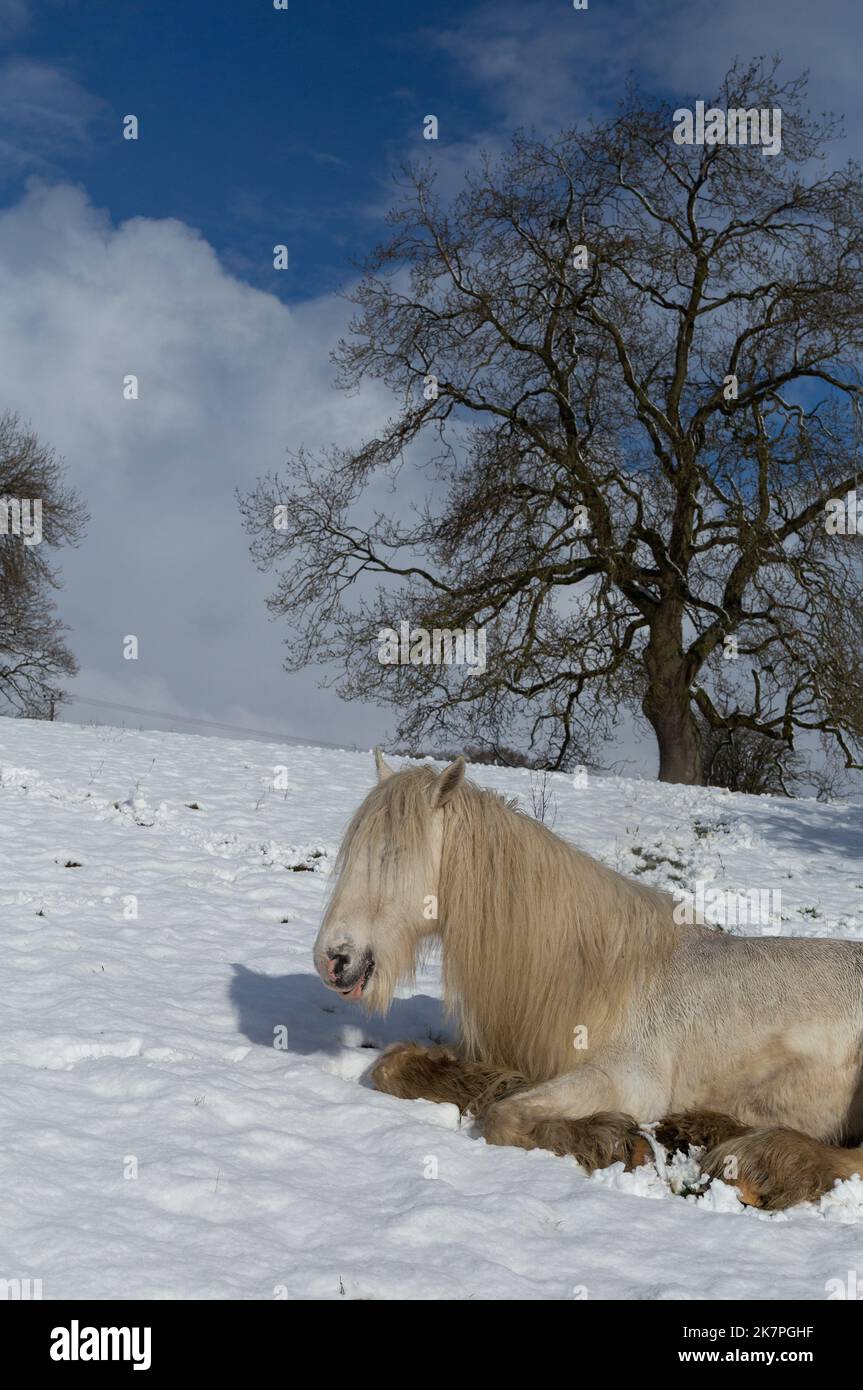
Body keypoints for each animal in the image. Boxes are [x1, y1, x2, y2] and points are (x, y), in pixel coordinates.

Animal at [312, 750, 863, 1209]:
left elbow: (504, 1118)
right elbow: (395, 1064)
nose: (331, 959)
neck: (598, 975)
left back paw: (759, 1165)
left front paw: (613, 1142)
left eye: (392, 856)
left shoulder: (621, 1081)